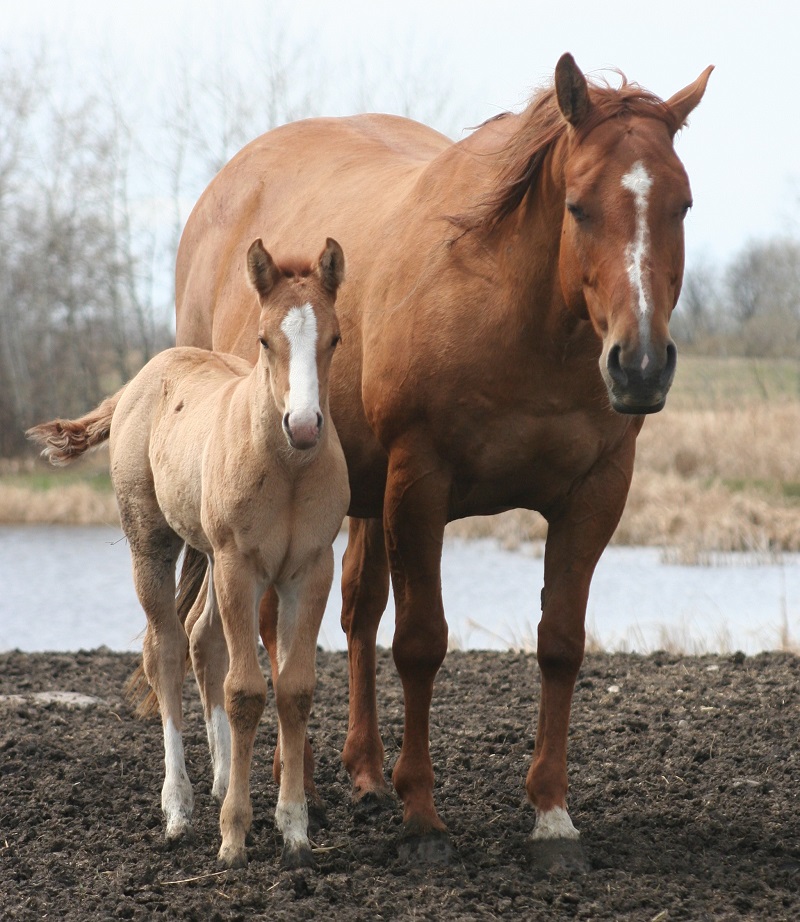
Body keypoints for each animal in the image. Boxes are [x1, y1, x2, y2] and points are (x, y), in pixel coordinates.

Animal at [28, 238, 350, 869]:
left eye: (334, 339)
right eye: (264, 339)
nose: (303, 426)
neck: (288, 470)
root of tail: (136, 381)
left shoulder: (310, 568)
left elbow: (294, 689)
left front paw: (295, 831)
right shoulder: (240, 565)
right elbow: (247, 691)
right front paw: (234, 837)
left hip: (210, 557)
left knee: (203, 641)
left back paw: (223, 780)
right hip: (154, 543)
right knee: (168, 649)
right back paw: (179, 807)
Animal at [172, 52, 712, 868]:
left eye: (682, 205)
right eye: (580, 206)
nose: (641, 365)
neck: (519, 317)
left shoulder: (595, 495)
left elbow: (560, 644)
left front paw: (551, 815)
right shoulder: (418, 485)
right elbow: (421, 643)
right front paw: (422, 816)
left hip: (358, 497)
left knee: (358, 610)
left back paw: (364, 771)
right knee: (275, 627)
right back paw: (297, 782)